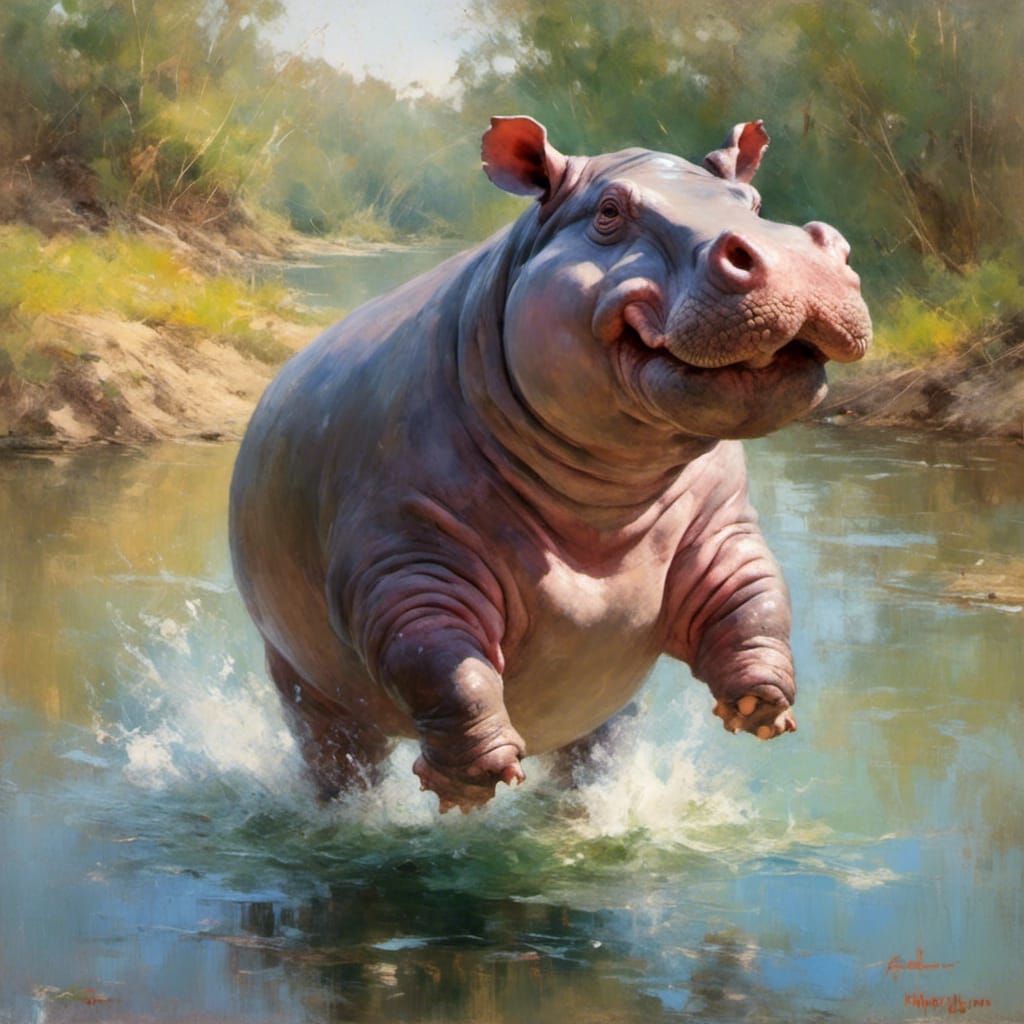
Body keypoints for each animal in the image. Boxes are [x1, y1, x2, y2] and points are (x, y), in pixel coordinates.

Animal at [229, 116, 871, 812]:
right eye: (609, 211)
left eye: (753, 204)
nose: (799, 255)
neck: (605, 501)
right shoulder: (405, 560)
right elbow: (439, 659)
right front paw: (469, 781)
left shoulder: (721, 528)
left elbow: (755, 595)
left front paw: (762, 702)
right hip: (307, 688)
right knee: (342, 755)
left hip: (607, 711)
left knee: (592, 749)